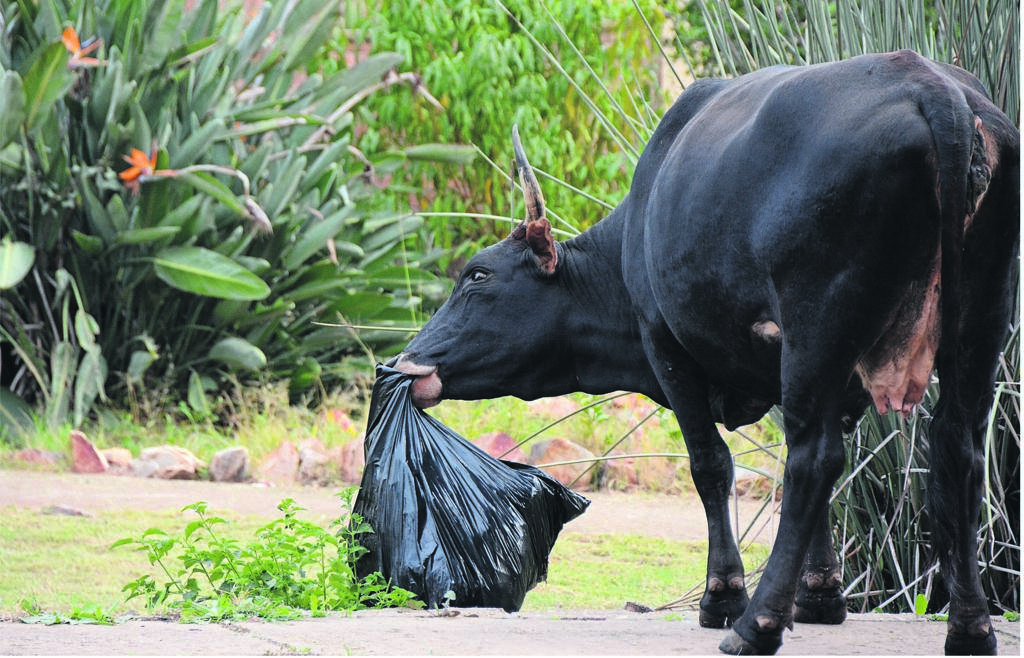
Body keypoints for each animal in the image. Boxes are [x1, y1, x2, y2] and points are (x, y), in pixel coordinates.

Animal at [389, 51, 1019, 655]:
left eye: (477, 275)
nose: (401, 364)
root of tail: (935, 87)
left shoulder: (668, 348)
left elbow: (711, 465)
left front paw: (723, 595)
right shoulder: (824, 380)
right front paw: (819, 595)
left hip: (819, 322)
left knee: (814, 459)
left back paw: (755, 626)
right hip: (980, 321)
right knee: (956, 452)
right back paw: (970, 628)